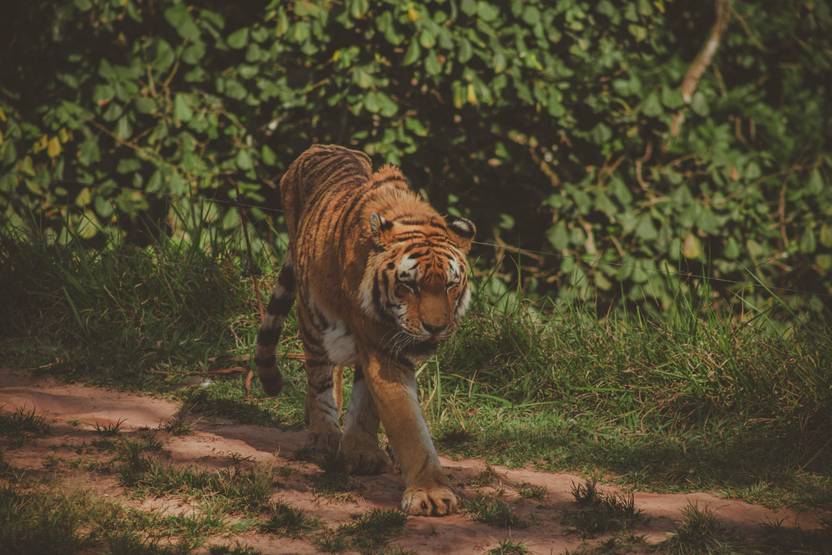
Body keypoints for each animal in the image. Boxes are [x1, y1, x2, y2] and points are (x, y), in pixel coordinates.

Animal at [254, 144, 475, 516]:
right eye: (410, 285)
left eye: (449, 285)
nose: (435, 327)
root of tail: (318, 147)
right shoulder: (381, 346)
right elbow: (407, 425)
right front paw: (430, 494)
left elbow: (369, 404)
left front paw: (363, 452)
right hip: (313, 318)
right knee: (320, 379)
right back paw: (324, 437)